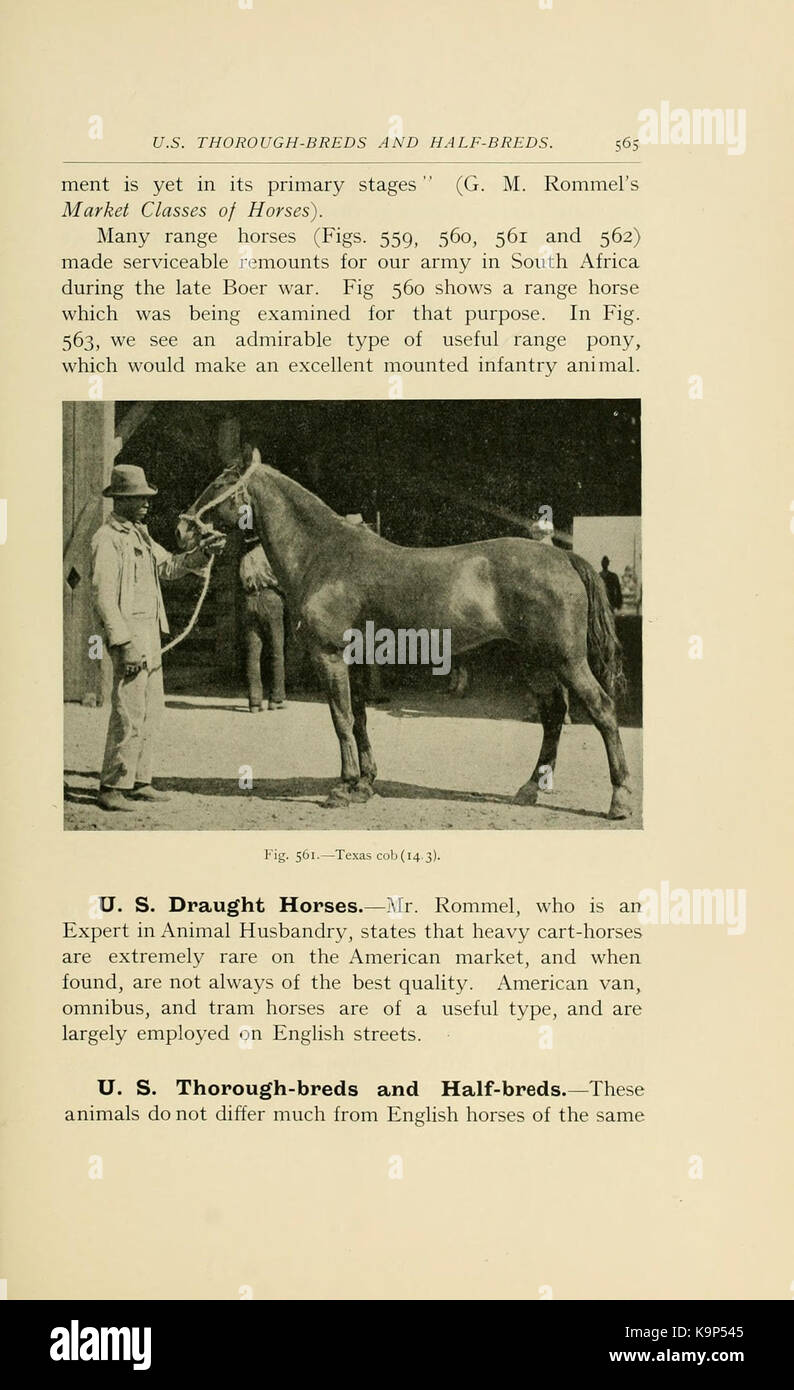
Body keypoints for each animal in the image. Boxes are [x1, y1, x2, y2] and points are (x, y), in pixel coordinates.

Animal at [176, 454, 632, 819]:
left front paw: (342, 788)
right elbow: (358, 717)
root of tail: (563, 557)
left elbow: (340, 719)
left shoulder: (329, 655)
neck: (324, 555)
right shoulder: (353, 660)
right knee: (553, 716)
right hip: (535, 661)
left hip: (566, 660)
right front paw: (364, 784)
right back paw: (529, 789)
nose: (182, 530)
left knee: (602, 710)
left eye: (218, 483)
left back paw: (619, 800)